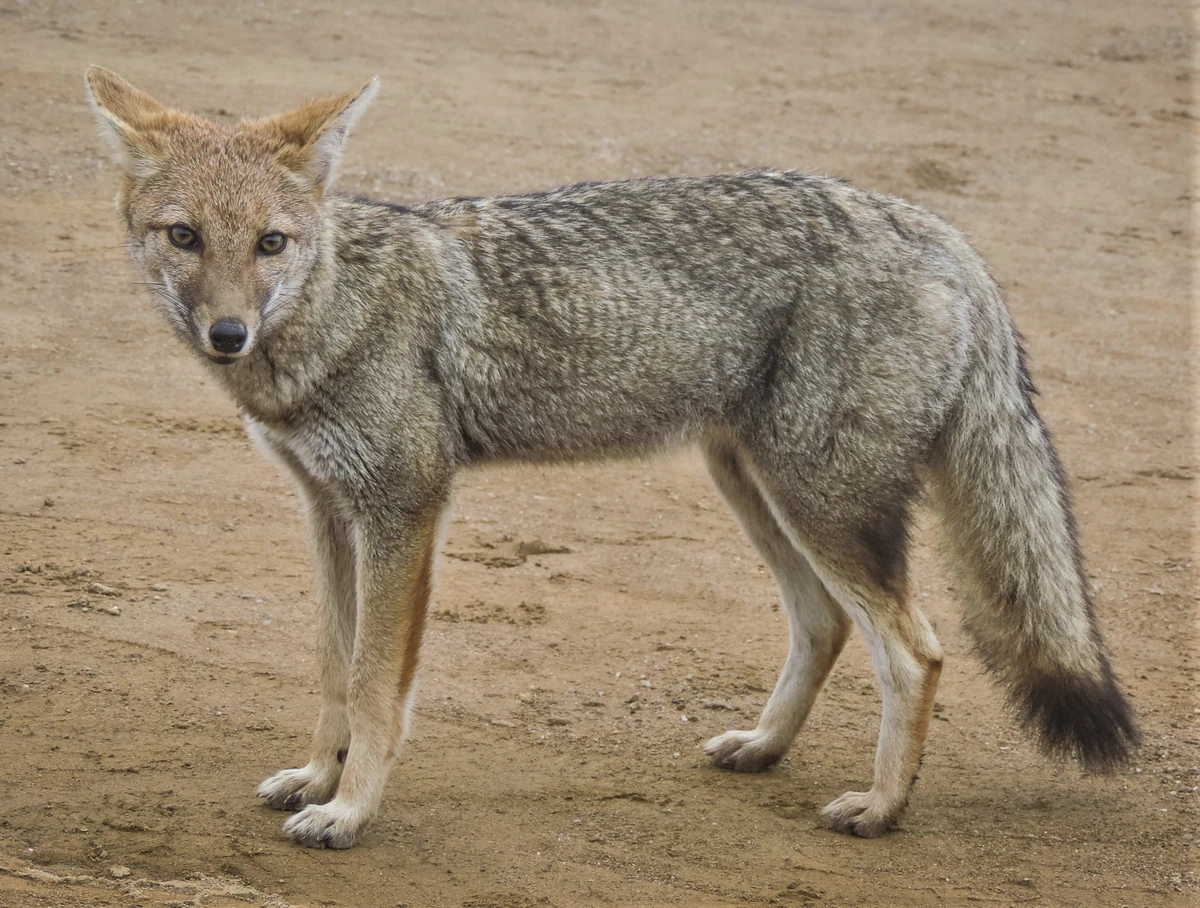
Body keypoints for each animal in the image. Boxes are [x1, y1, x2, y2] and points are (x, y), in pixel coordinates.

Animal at [85, 67, 1139, 849]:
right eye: (185, 236)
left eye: (271, 243)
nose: (227, 333)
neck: (338, 313)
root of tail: (937, 230)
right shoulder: (327, 511)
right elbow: (332, 667)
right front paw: (316, 775)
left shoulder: (404, 508)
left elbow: (378, 683)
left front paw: (348, 812)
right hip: (757, 489)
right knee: (825, 624)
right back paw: (764, 747)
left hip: (820, 504)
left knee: (914, 651)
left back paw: (880, 809)